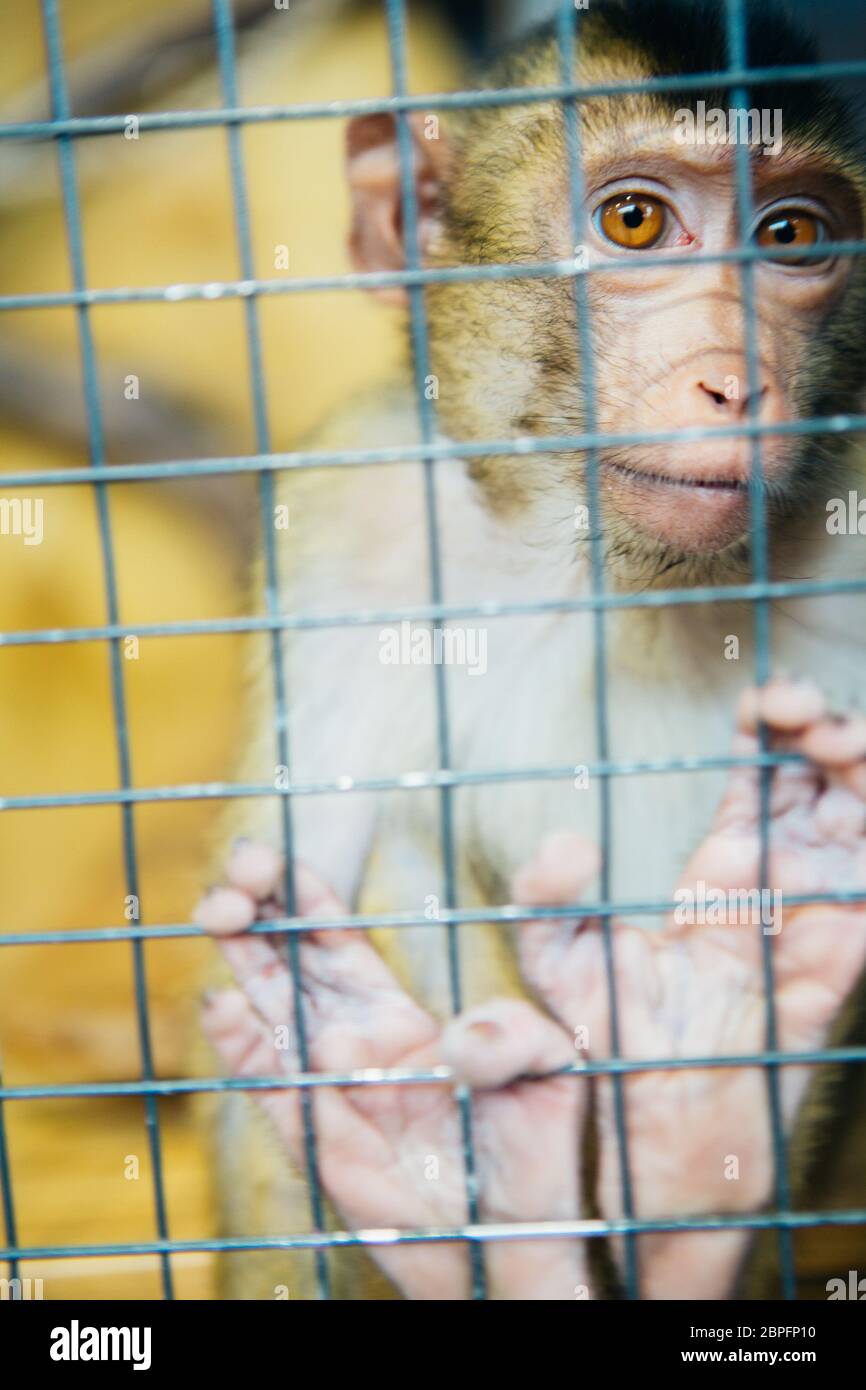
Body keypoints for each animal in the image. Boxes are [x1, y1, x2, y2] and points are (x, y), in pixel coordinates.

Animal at [194, 0, 866, 1299]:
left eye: (792, 236)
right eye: (633, 222)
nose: (734, 381)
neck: (619, 577)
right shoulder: (355, 517)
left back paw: (695, 1129)